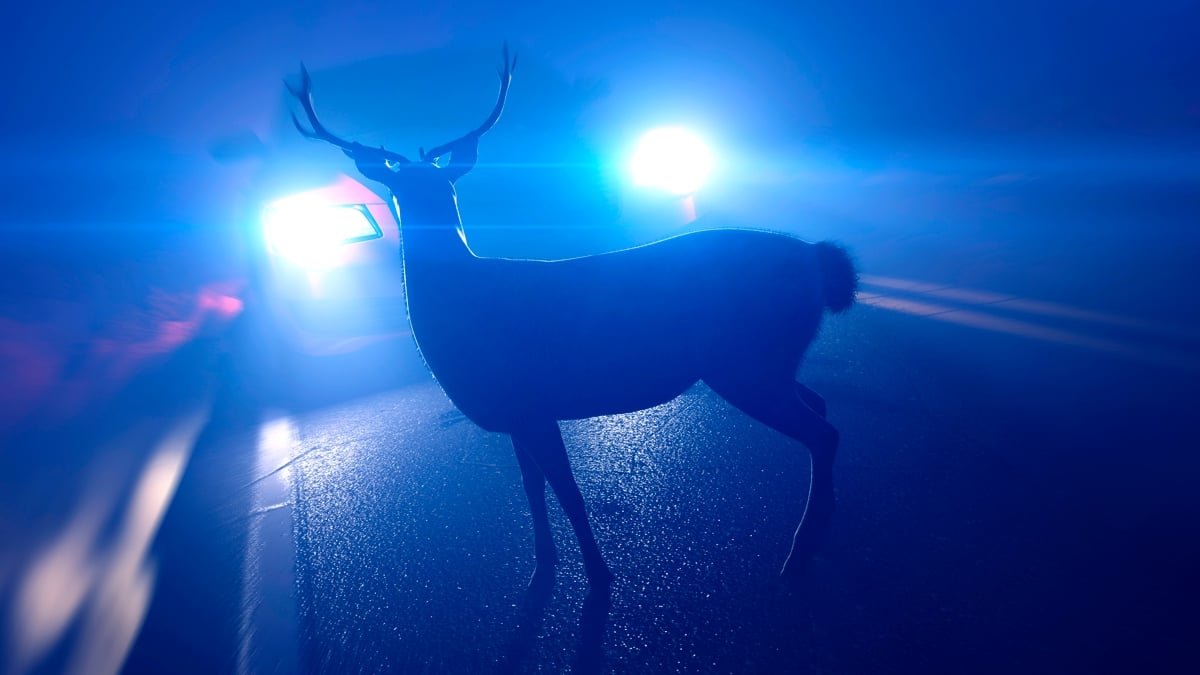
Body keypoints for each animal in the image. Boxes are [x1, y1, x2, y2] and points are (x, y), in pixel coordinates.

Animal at [286, 46, 858, 591]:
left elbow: (569, 494)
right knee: (821, 406)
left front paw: (600, 577)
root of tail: (819, 259)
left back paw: (797, 553)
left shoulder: (532, 403)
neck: (462, 308)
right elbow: (531, 491)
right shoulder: (515, 413)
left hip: (745, 360)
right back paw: (824, 526)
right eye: (400, 190)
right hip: (766, 359)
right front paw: (542, 567)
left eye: (444, 187)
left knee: (822, 432)